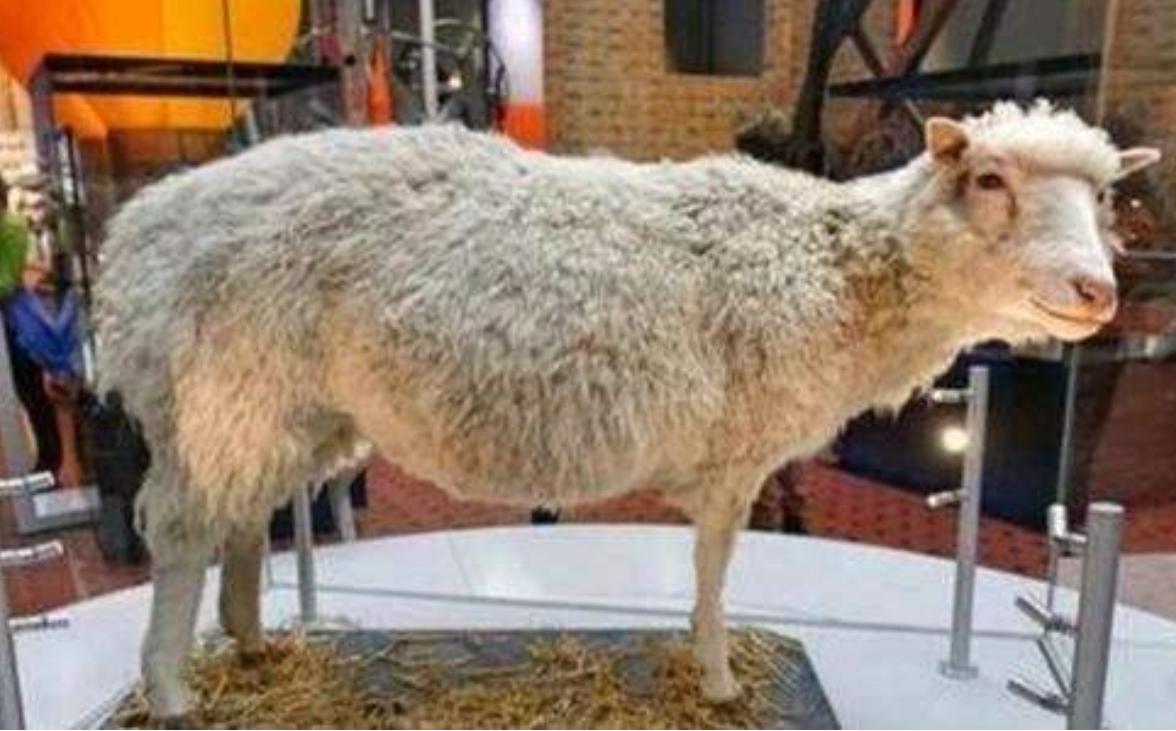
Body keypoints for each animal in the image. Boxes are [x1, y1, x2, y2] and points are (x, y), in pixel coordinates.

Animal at [94, 100, 1160, 722]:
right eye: (989, 180)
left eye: (1108, 197)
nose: (1096, 292)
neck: (836, 269)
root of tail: (133, 232)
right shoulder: (736, 451)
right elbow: (716, 565)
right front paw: (719, 673)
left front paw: (705, 656)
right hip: (223, 389)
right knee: (182, 533)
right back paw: (173, 688)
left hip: (278, 408)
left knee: (239, 520)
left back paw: (253, 644)